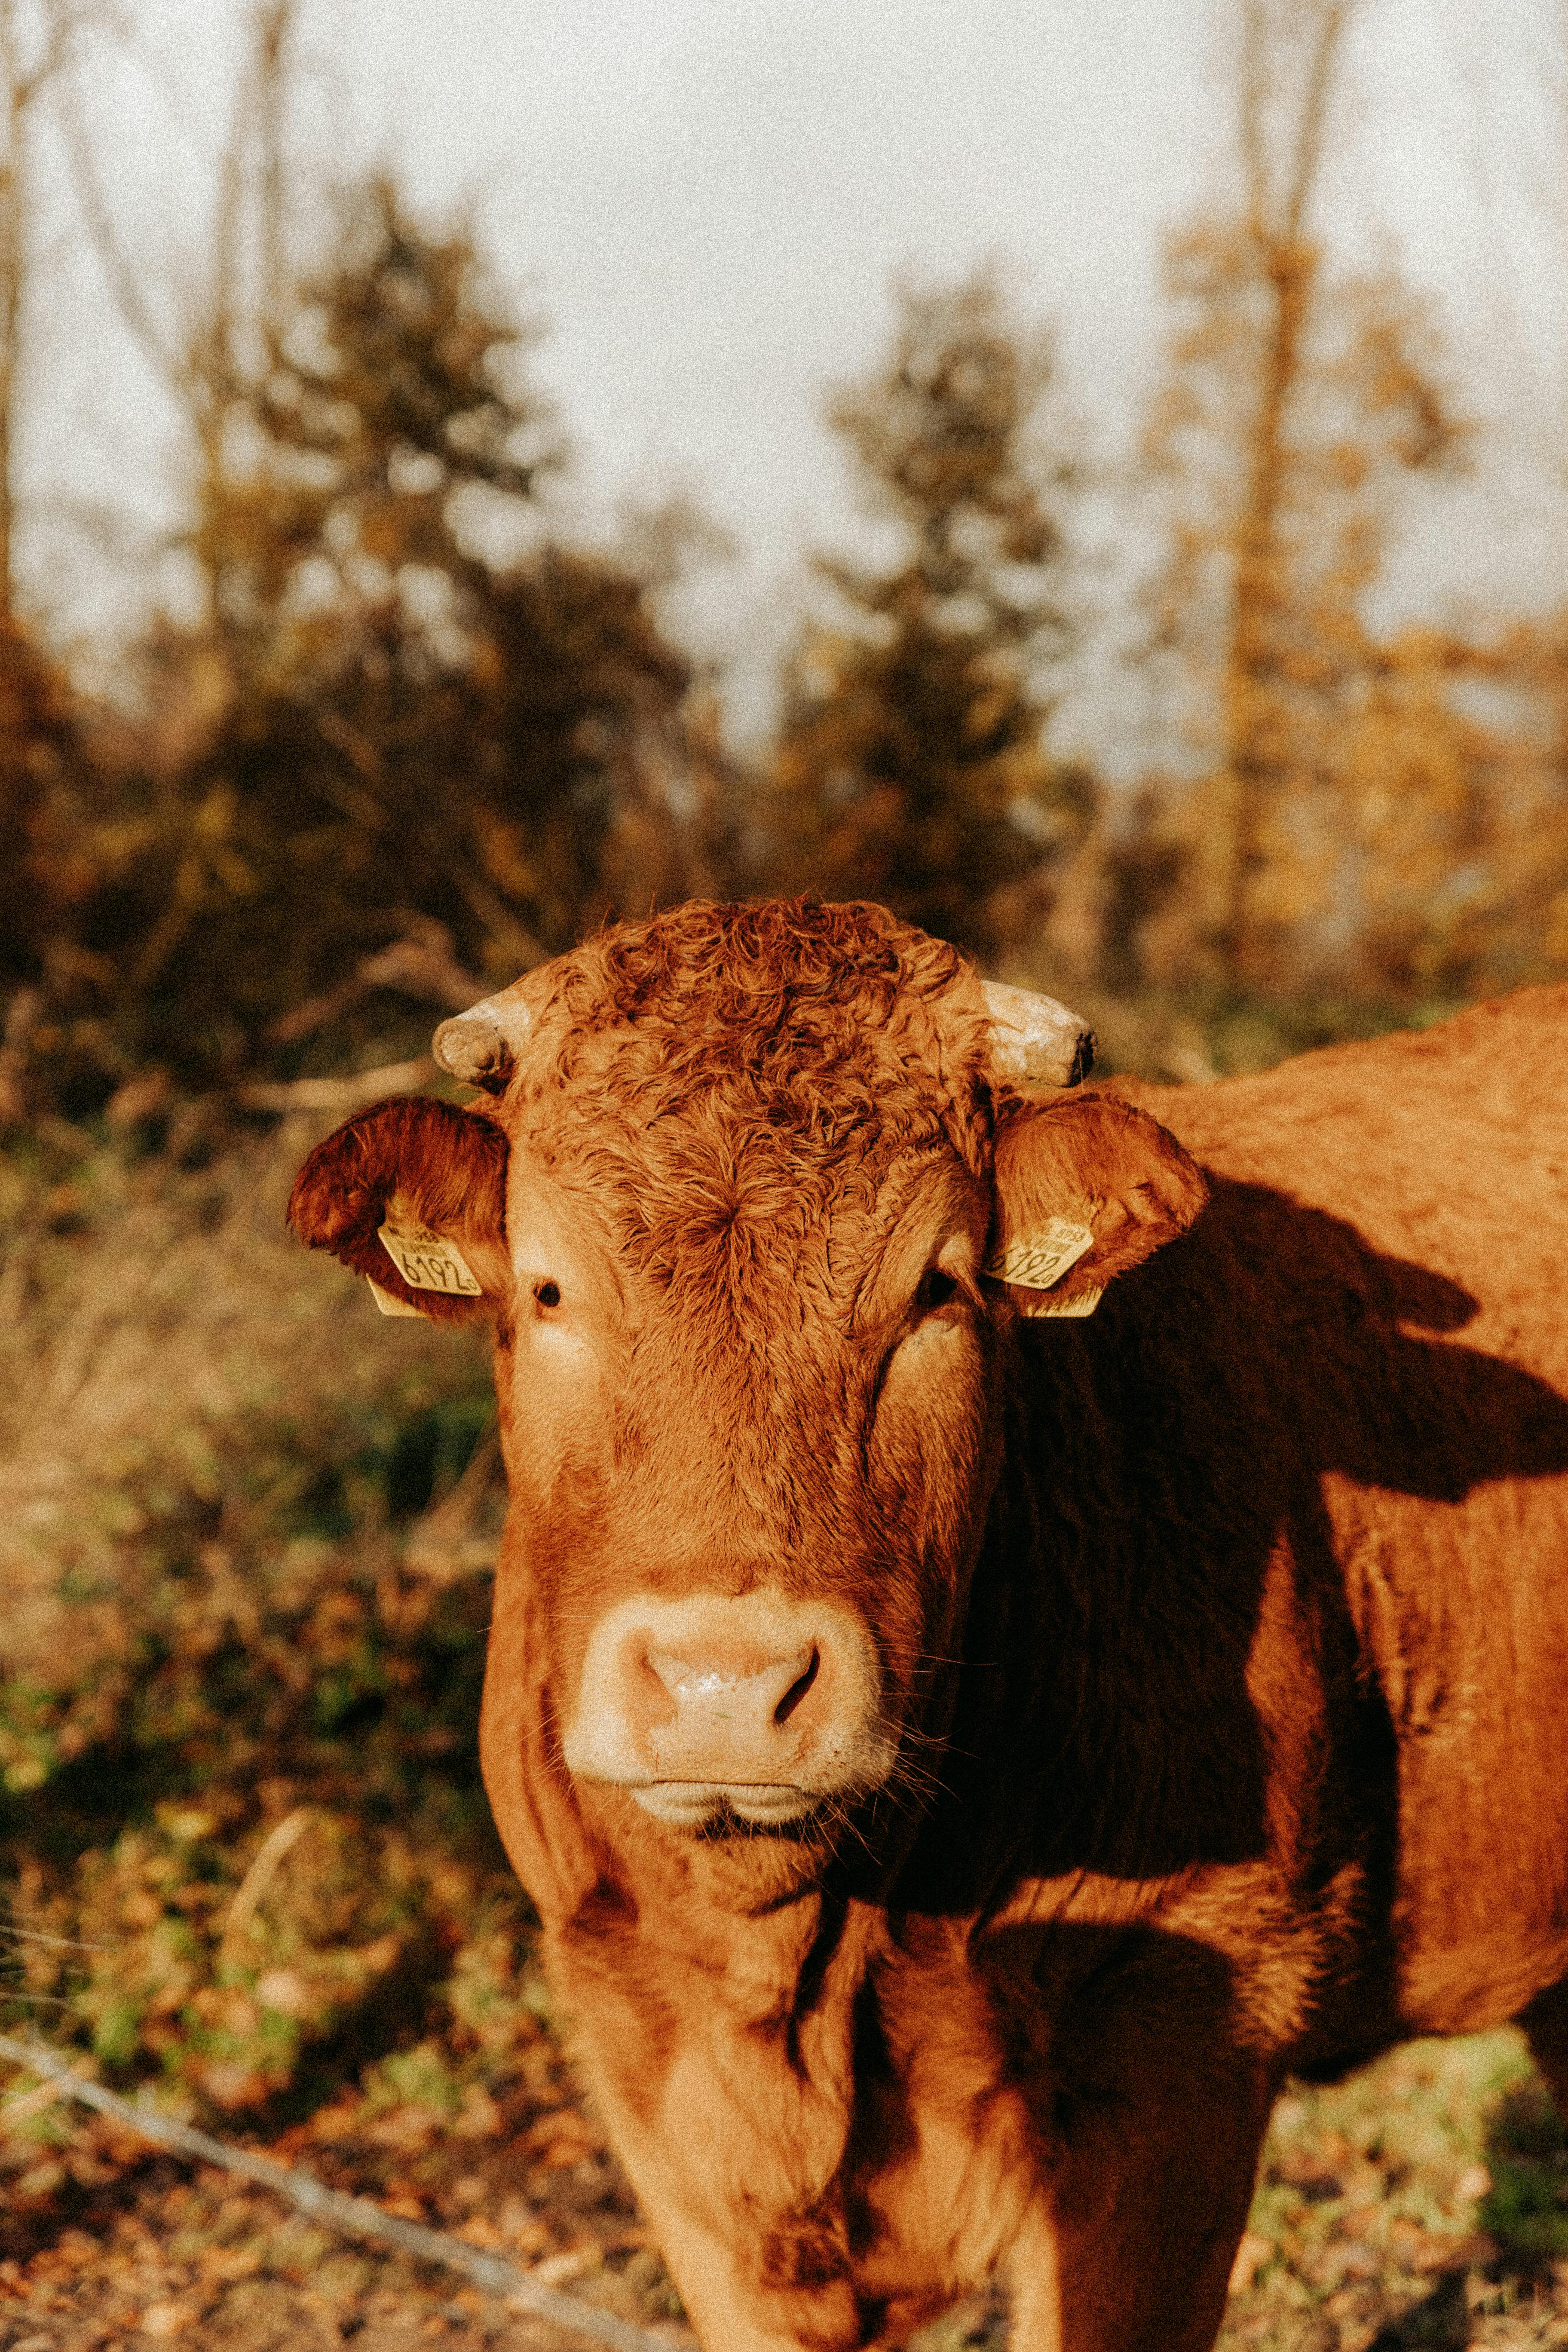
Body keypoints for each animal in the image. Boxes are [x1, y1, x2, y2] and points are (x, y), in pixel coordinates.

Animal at [289, 895, 1568, 2352]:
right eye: (551, 1289)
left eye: (936, 1290)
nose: (726, 1683)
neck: (803, 1955)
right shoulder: (652, 2069)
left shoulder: (1181, 2044)